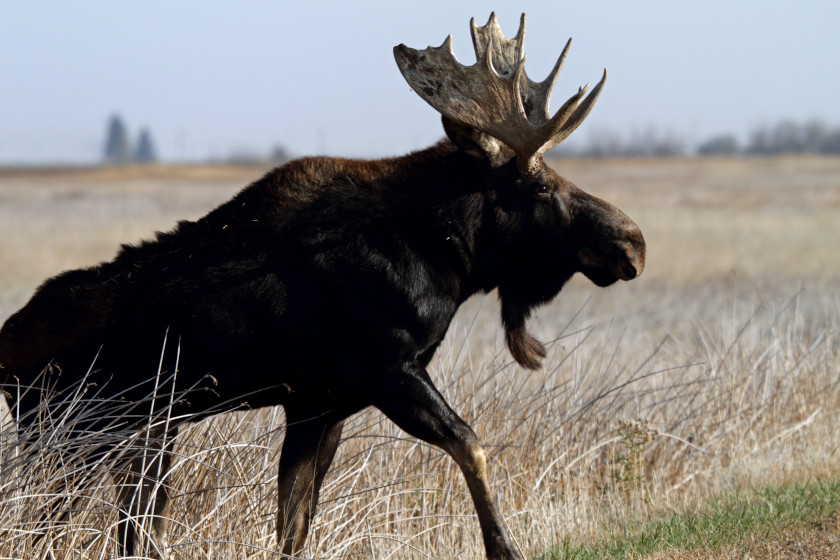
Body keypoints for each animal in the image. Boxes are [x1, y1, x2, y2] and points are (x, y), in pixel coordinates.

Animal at [0, 13, 644, 560]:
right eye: (540, 186)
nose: (633, 241)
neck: (449, 256)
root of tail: (7, 350)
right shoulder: (389, 370)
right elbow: (472, 443)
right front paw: (503, 548)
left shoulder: (320, 405)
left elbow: (293, 526)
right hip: (74, 437)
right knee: (53, 524)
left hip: (131, 438)